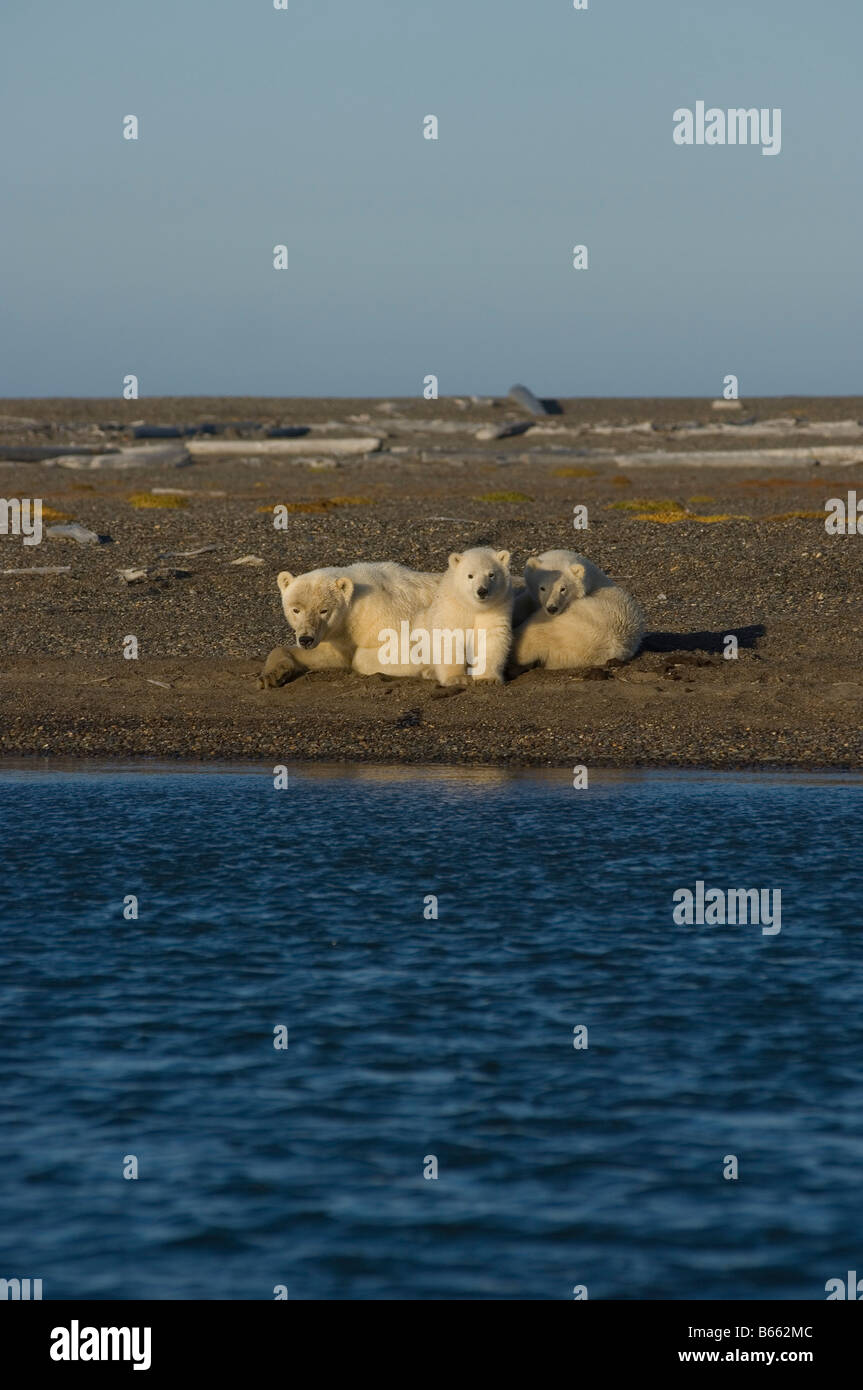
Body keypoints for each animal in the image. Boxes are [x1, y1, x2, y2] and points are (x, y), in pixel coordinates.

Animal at [259, 560, 440, 687]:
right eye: (296, 610)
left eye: (323, 610)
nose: (305, 640)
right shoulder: (339, 635)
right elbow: (330, 655)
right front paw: (272, 676)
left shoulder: (390, 618)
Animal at [415, 547, 513, 686]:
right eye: (470, 575)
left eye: (491, 574)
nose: (482, 591)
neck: (473, 606)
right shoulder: (453, 607)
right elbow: (450, 637)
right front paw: (457, 678)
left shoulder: (497, 607)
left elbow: (491, 637)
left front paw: (487, 678)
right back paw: (430, 672)